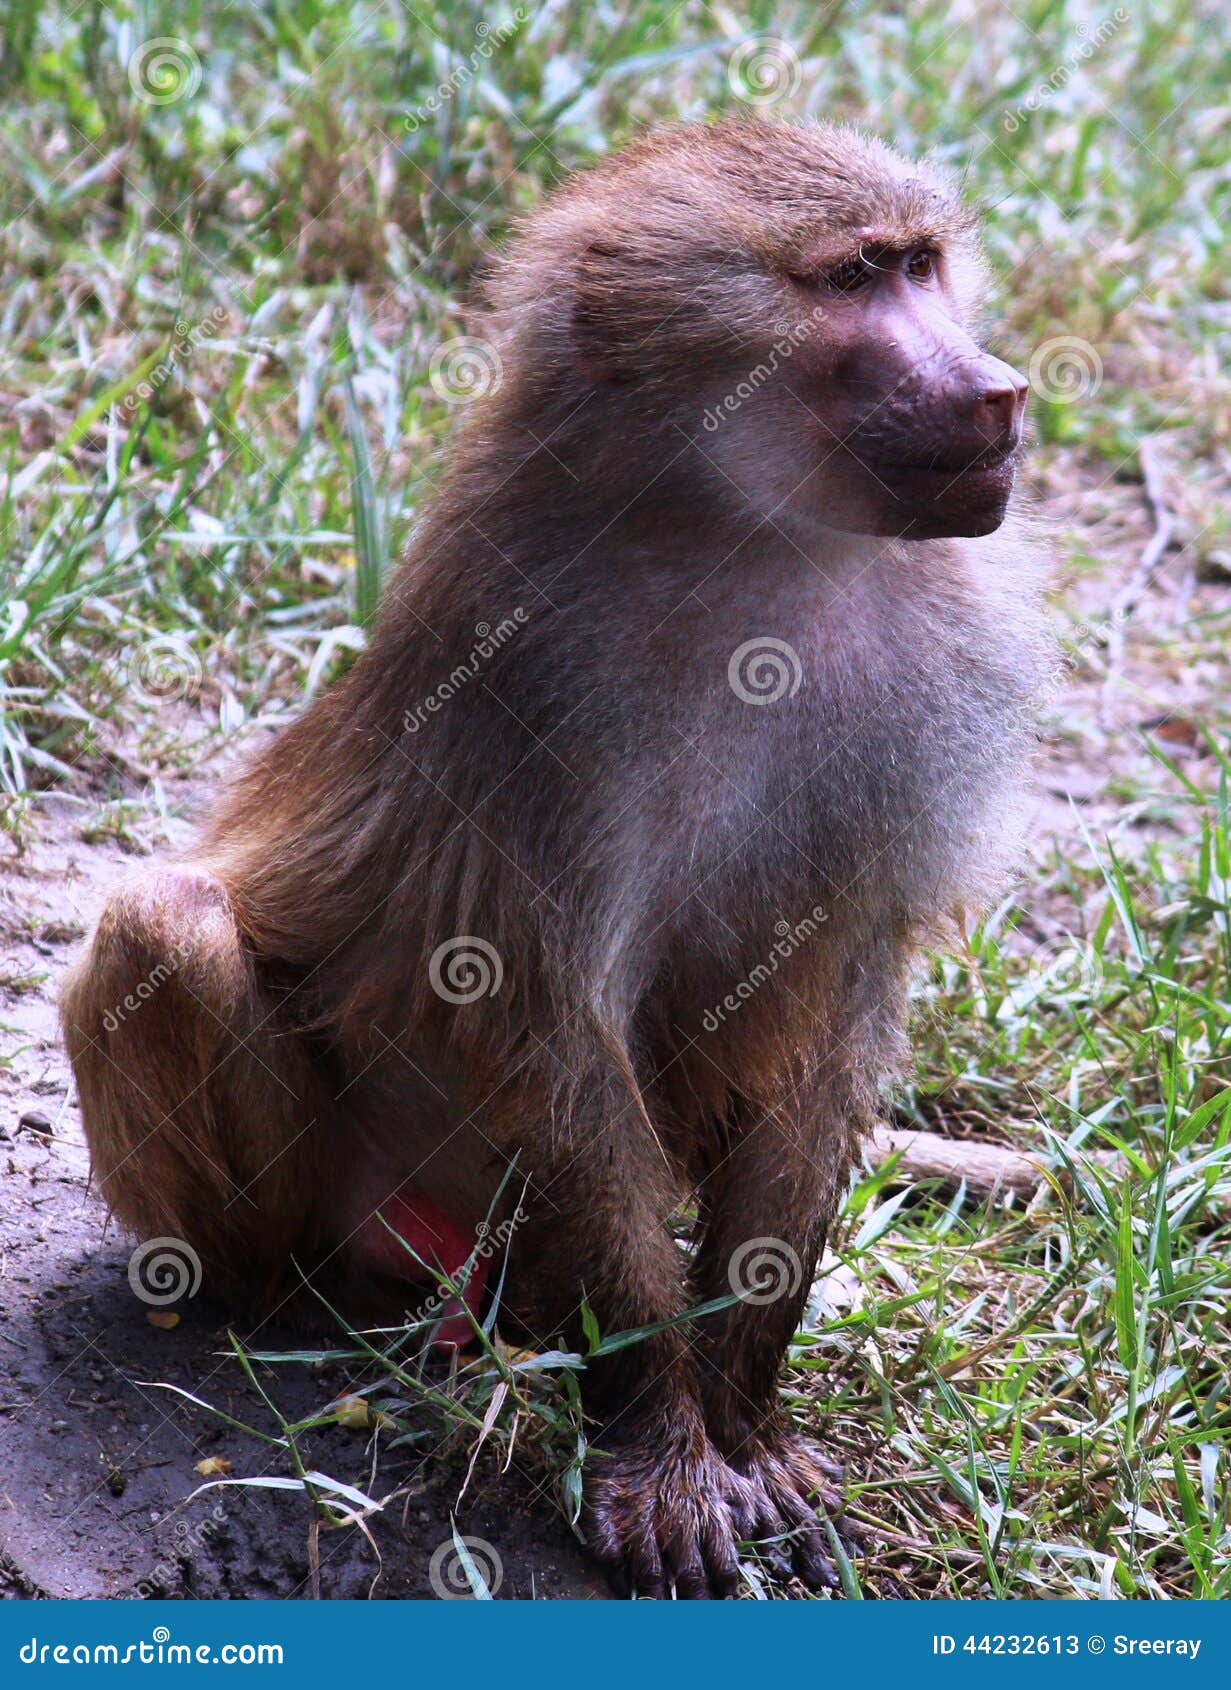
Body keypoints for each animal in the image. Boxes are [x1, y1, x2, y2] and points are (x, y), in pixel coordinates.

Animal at [62, 119, 1050, 1599]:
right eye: (846, 280)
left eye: (920, 264)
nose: (995, 392)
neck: (754, 538)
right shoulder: (532, 665)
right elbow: (527, 1001)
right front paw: (661, 1449)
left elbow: (839, 996)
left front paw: (743, 1420)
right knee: (163, 925)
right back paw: (291, 1293)